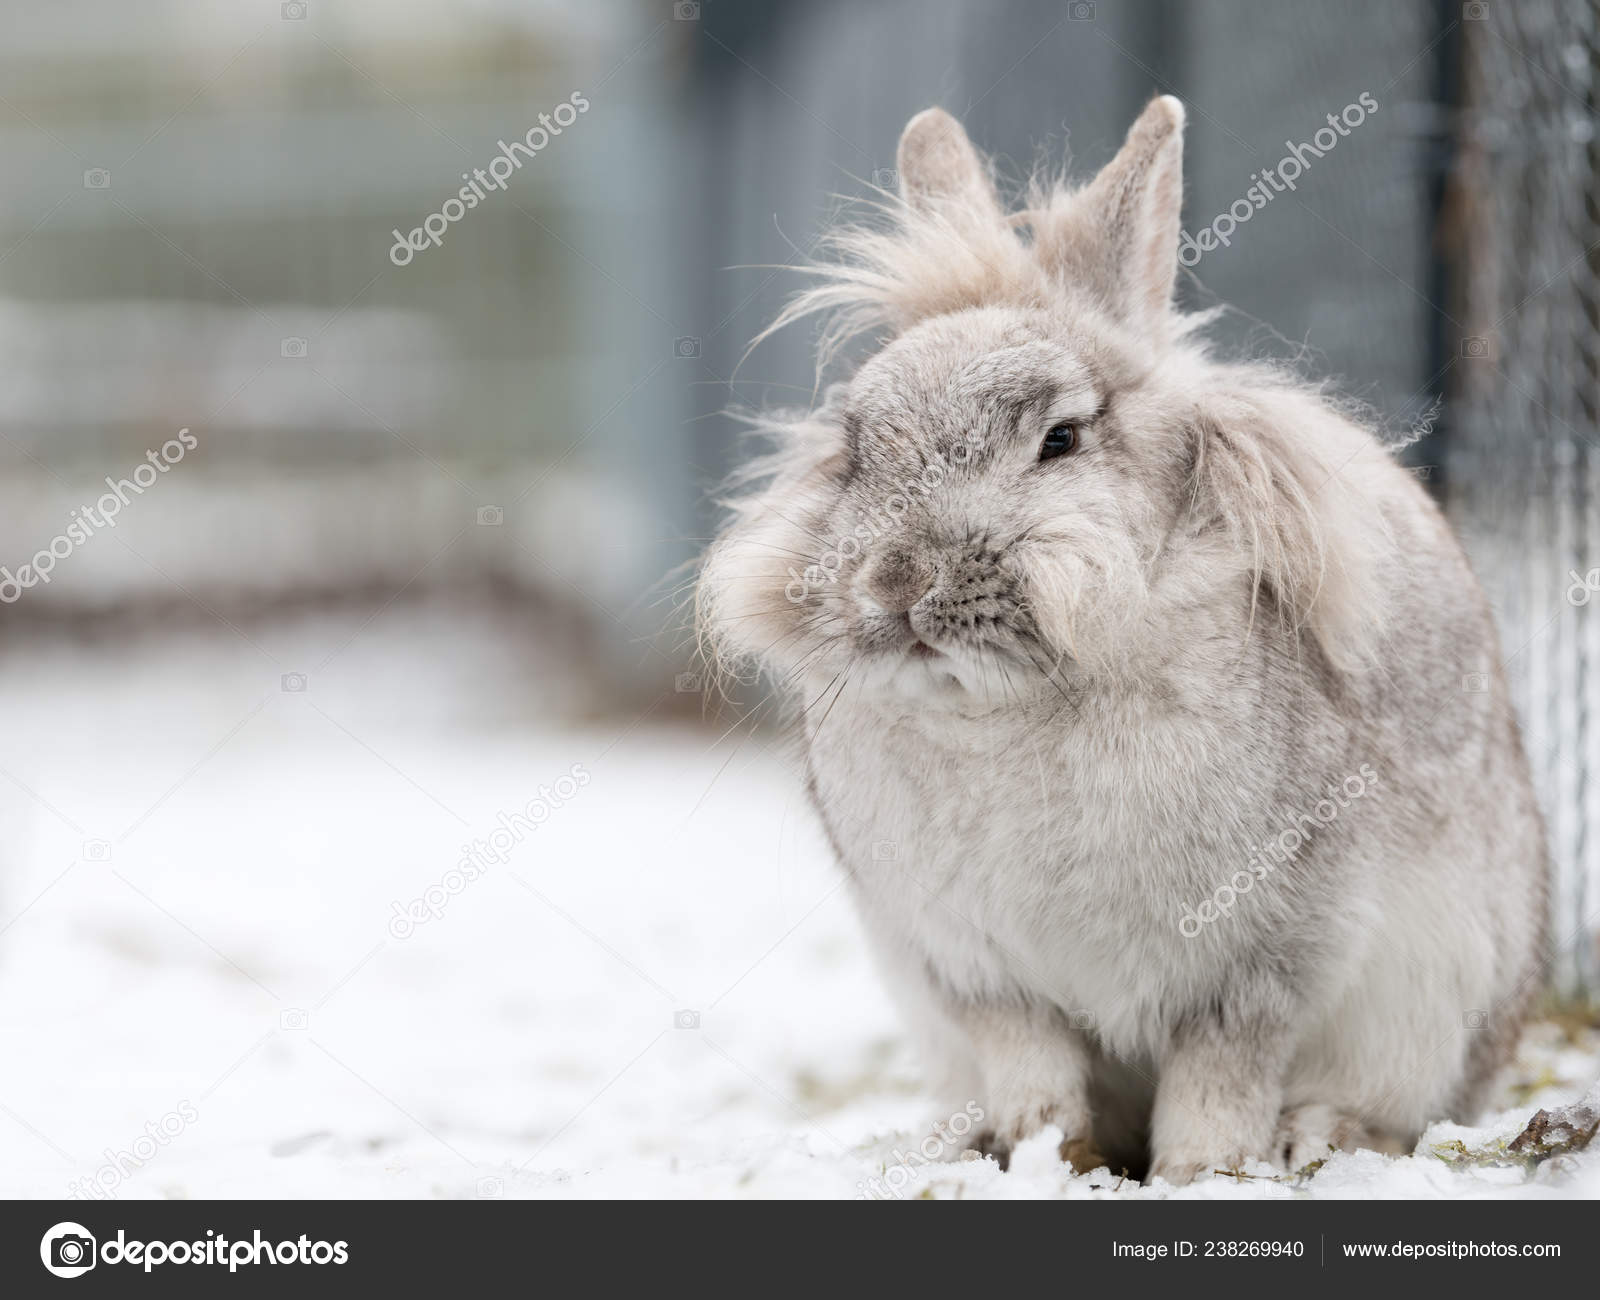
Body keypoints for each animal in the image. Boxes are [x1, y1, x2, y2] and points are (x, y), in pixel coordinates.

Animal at [697, 97, 1547, 1184]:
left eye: (1059, 440)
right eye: (852, 450)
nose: (898, 583)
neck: (998, 710)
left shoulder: (1264, 958)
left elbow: (1220, 1073)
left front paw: (1202, 1174)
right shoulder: (976, 971)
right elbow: (1036, 1074)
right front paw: (1037, 1158)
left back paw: (1321, 1140)